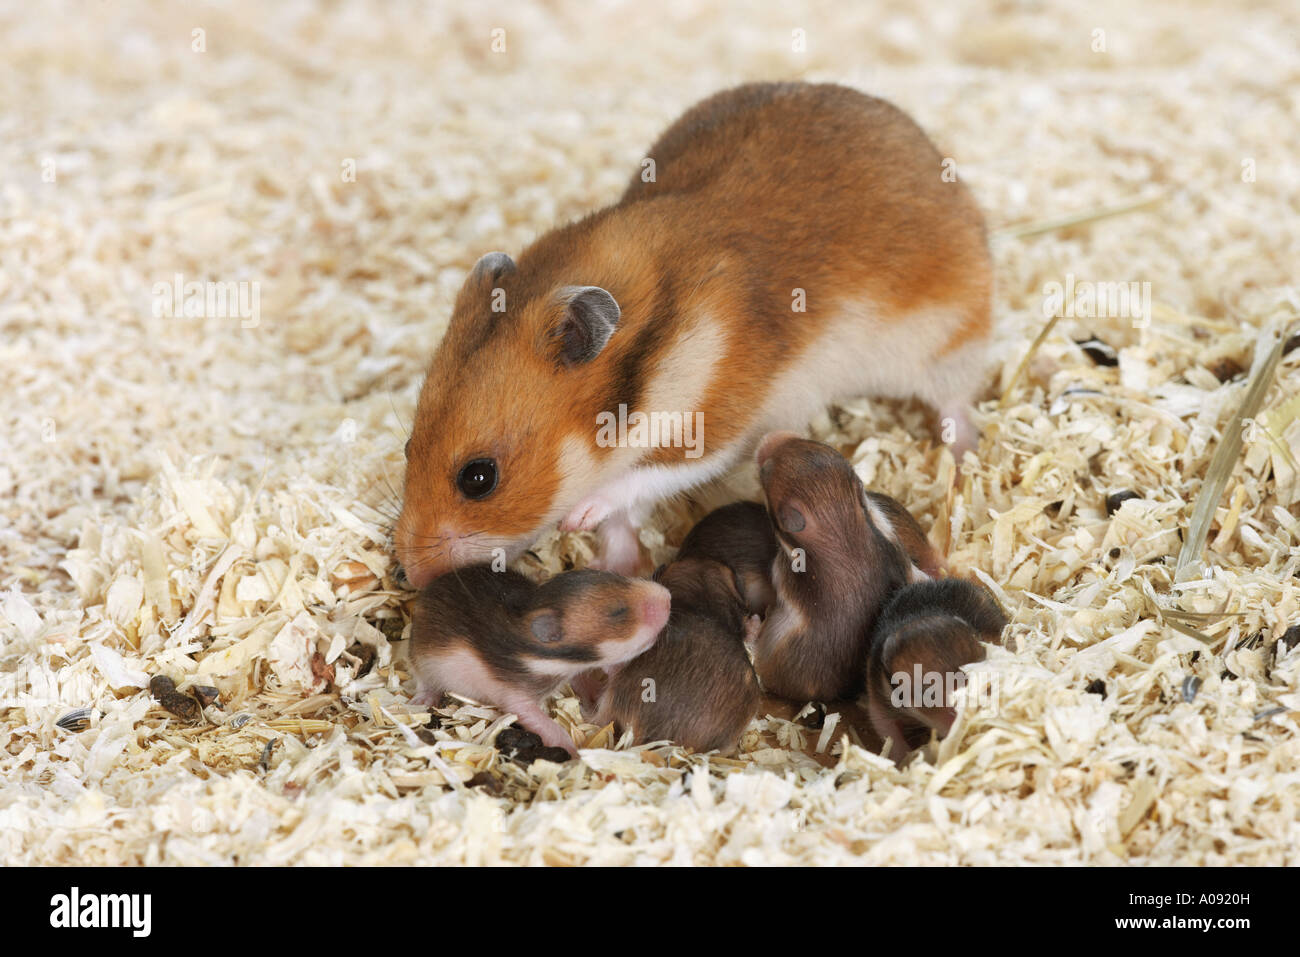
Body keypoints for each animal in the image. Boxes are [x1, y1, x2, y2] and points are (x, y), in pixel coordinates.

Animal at [395, 81, 993, 587]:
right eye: (406, 446)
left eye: (479, 477)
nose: (409, 576)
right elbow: (629, 509)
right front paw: (619, 563)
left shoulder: (713, 426)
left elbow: (642, 482)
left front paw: (578, 518)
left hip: (945, 340)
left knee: (957, 405)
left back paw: (962, 463)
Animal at [409, 565, 671, 756]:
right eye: (617, 612)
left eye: (617, 576)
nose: (668, 596)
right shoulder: (517, 700)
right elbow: (544, 723)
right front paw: (574, 752)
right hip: (422, 658)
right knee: (422, 679)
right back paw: (424, 699)